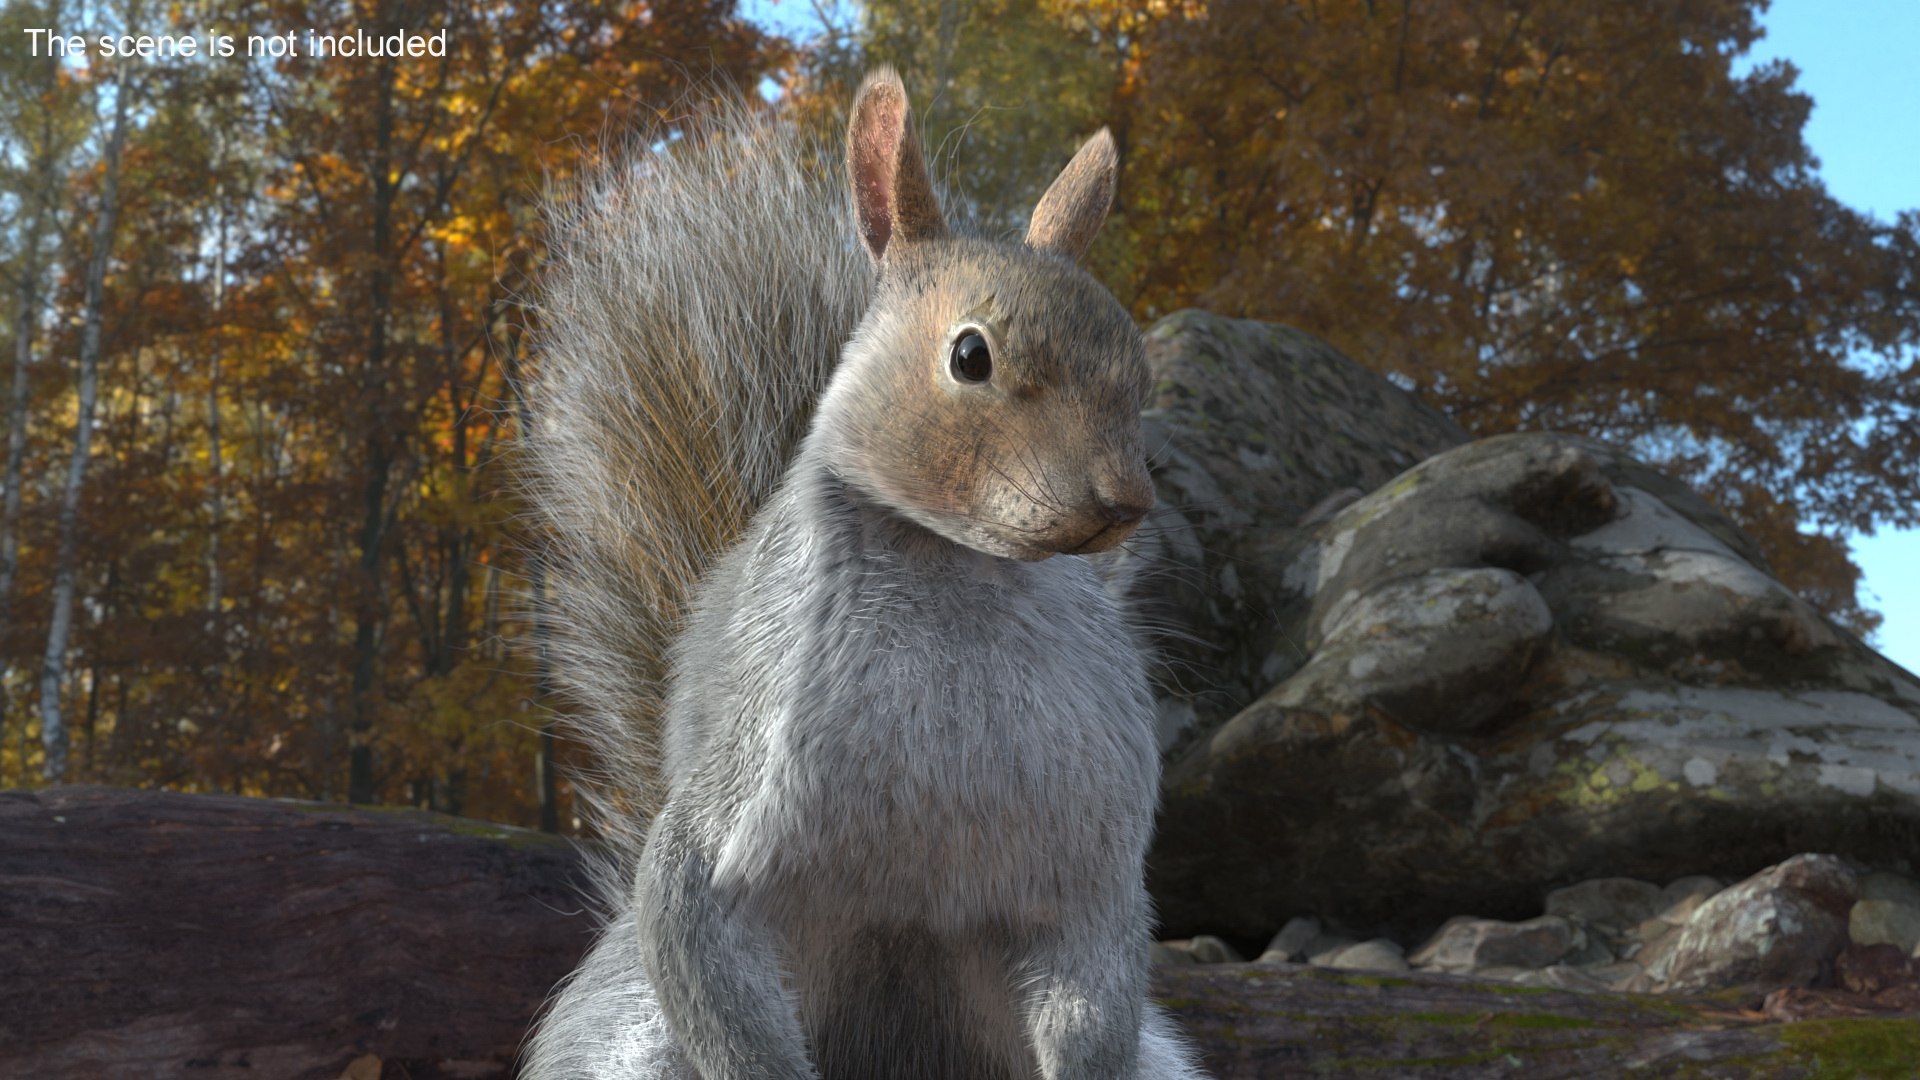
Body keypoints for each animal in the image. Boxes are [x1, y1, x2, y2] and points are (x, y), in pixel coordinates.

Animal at [520, 68, 1207, 1080]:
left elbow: (1096, 983)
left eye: (1131, 354)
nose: (1124, 500)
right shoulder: (736, 795)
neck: (959, 580)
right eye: (970, 355)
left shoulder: (1087, 867)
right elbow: (695, 931)